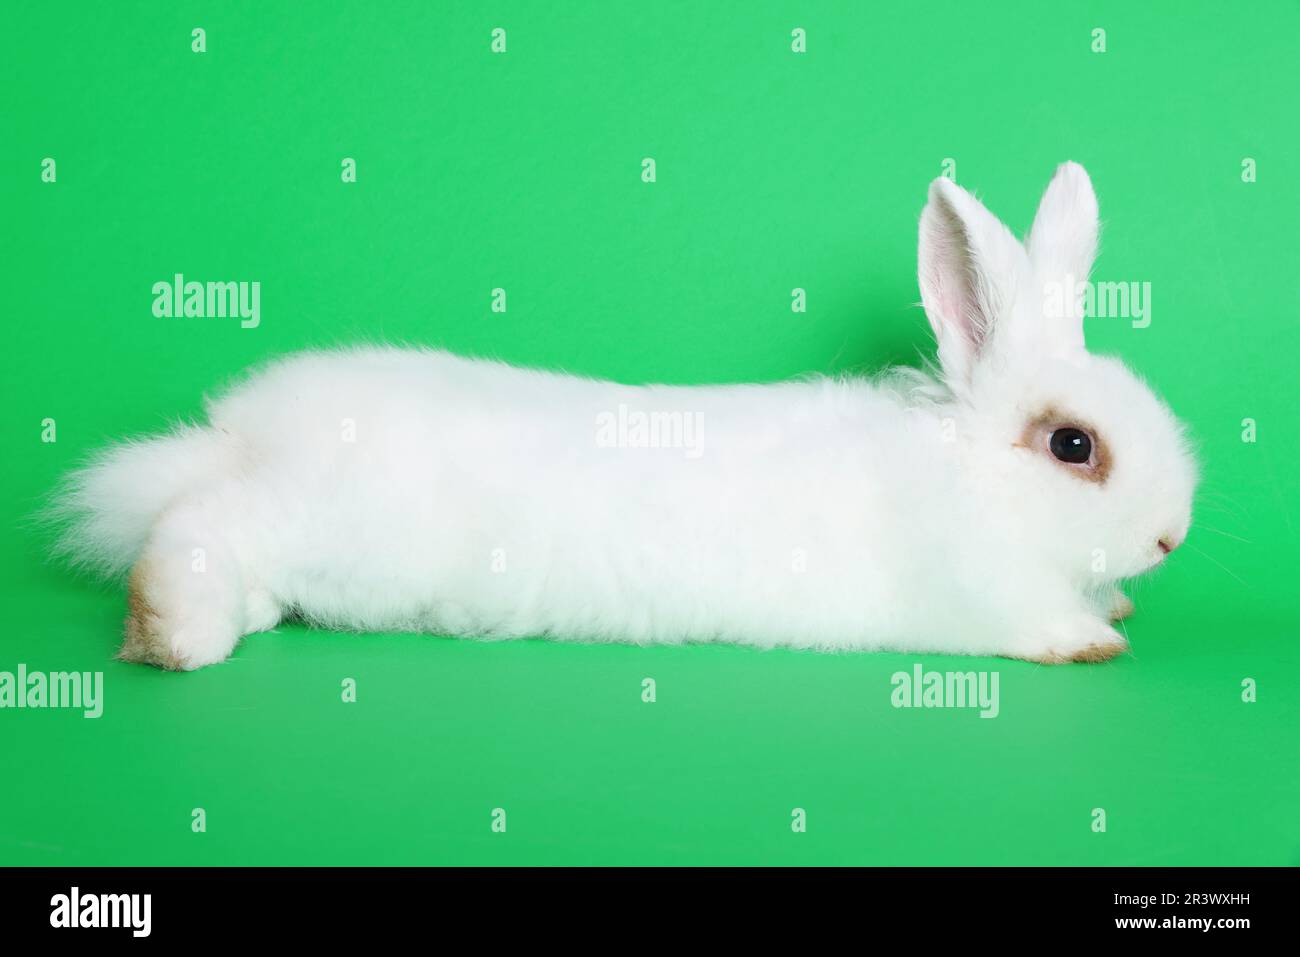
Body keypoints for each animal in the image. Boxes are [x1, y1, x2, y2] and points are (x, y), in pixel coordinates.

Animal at [51, 162, 1196, 670]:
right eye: (1073, 446)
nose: (1170, 537)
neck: (972, 476)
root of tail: (237, 438)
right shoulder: (981, 593)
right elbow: (1040, 624)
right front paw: (1096, 641)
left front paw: (1119, 605)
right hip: (327, 524)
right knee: (199, 531)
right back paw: (174, 633)